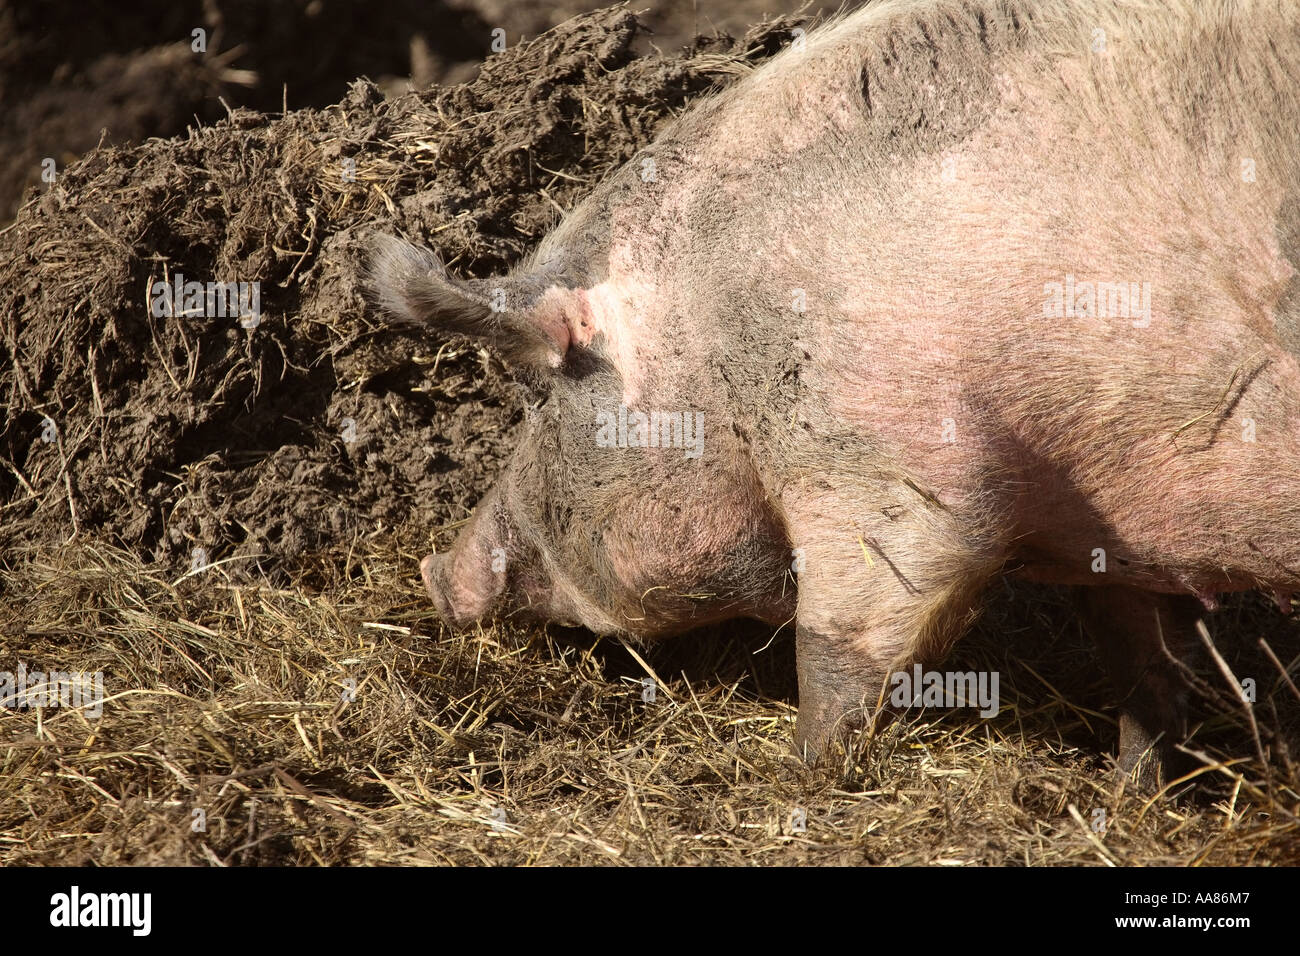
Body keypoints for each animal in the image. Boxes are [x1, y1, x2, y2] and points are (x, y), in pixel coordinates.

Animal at [373, 0, 1300, 787]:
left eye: (537, 394)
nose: (433, 573)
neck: (719, 320)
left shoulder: (882, 468)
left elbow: (841, 643)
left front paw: (806, 776)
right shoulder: (1119, 514)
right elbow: (1140, 659)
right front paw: (1131, 793)